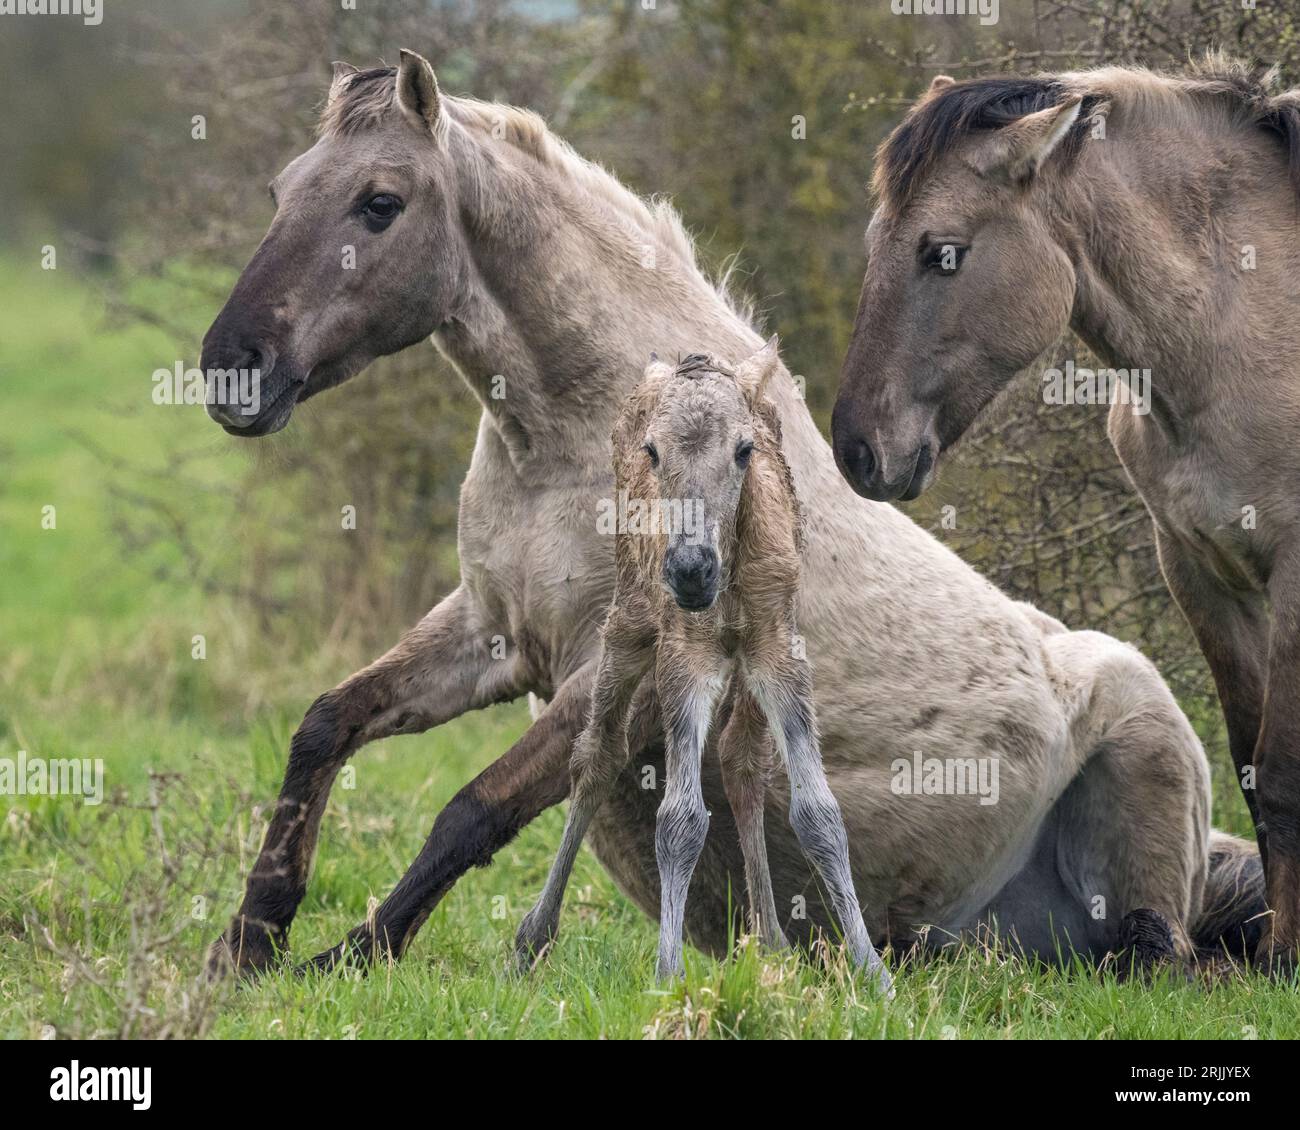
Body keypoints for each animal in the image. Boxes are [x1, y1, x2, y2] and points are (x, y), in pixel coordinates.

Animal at [515, 343, 889, 987]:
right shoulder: (683, 654)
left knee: (742, 759)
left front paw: (871, 969)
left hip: (746, 664)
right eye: (653, 450)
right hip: (629, 615)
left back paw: (772, 943)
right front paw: (668, 973)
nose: (691, 570)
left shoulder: (779, 649)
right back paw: (534, 935)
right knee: (598, 753)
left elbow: (819, 812)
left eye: (745, 450)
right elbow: (679, 819)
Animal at [829, 56, 1296, 971]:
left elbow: (1289, 772)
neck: (1247, 323)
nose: (856, 447)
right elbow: (1255, 770)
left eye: (943, 252)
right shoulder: (1201, 572)